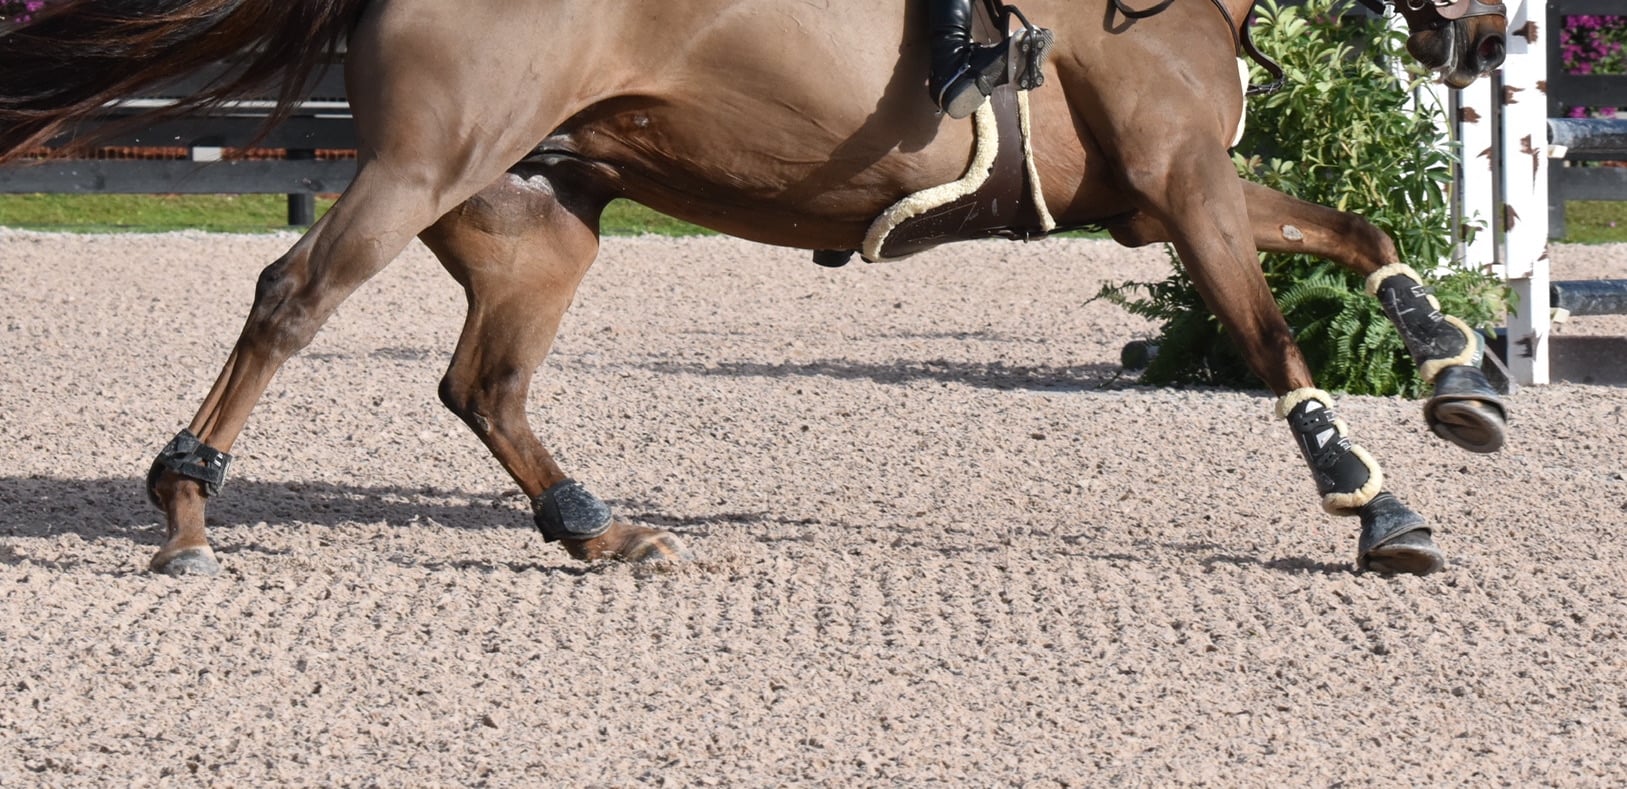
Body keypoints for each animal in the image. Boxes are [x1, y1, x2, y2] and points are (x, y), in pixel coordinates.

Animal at [0, 0, 1511, 577]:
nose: (1490, 38)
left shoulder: (1167, 192)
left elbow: (1359, 229)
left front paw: (1459, 369)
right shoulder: (1182, 186)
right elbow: (1267, 342)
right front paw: (1374, 504)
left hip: (537, 218)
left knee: (482, 382)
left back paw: (593, 528)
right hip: (424, 168)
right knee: (291, 299)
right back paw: (184, 511)